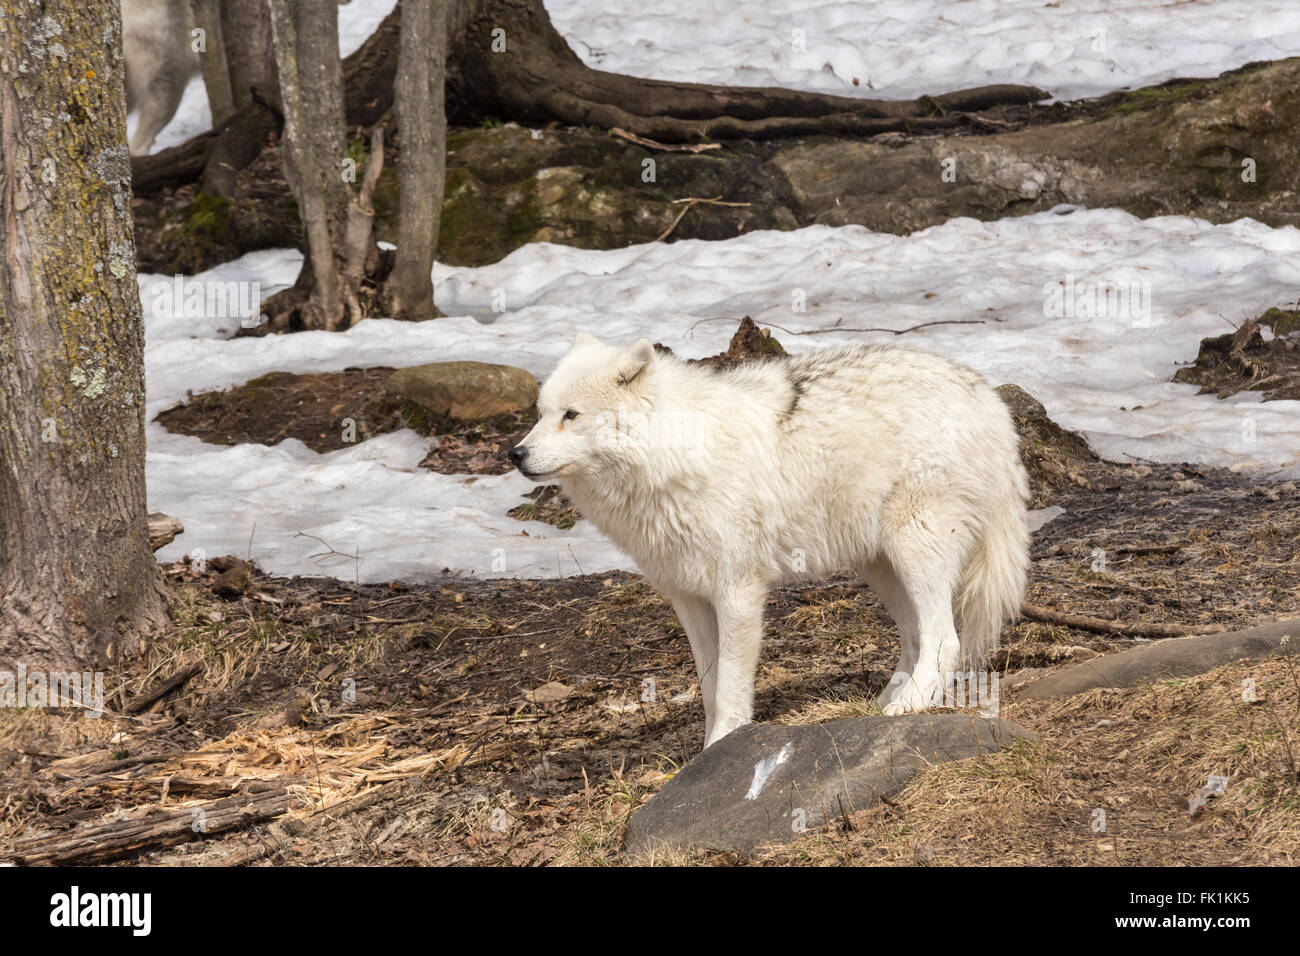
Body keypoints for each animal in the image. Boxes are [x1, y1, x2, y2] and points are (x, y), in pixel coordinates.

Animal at [510, 334, 1030, 750]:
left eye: (571, 415)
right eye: (540, 414)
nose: (515, 454)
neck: (672, 459)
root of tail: (989, 398)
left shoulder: (738, 593)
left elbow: (730, 689)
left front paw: (724, 746)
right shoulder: (689, 599)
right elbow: (709, 688)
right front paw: (704, 757)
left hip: (914, 548)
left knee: (944, 638)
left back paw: (908, 707)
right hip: (882, 568)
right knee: (917, 637)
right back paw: (878, 702)